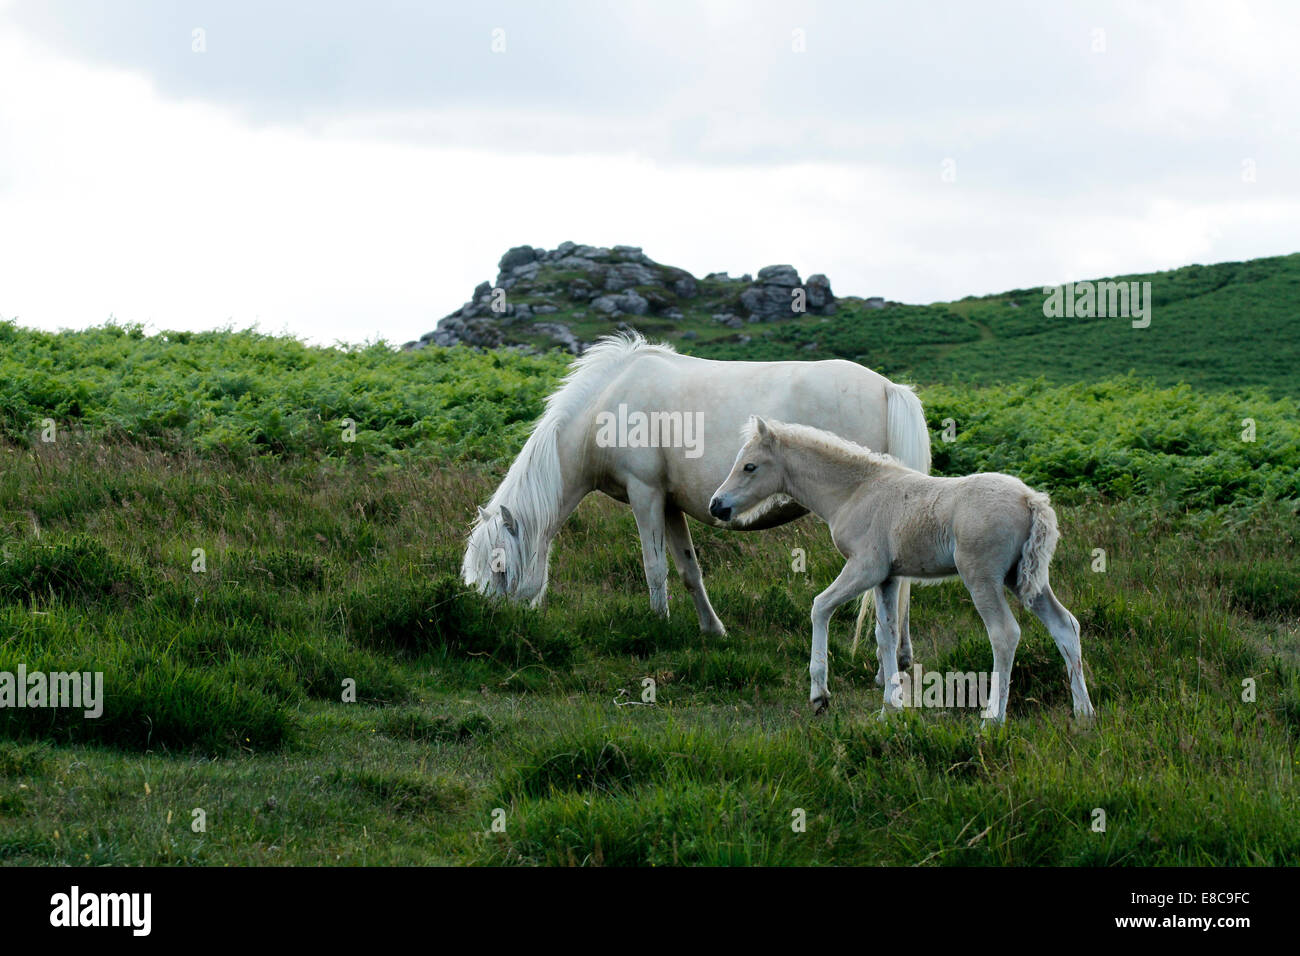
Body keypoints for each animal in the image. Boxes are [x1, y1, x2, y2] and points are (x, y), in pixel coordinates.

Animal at [463, 333, 932, 661]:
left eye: (500, 567)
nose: (494, 627)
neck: (604, 408)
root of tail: (888, 388)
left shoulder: (645, 494)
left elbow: (654, 569)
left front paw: (659, 626)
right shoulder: (670, 504)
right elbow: (689, 571)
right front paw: (712, 630)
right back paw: (903, 654)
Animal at [709, 416, 1095, 724]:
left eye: (749, 466)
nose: (717, 505)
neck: (855, 492)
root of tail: (1031, 500)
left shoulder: (865, 567)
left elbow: (820, 606)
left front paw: (819, 696)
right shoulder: (888, 577)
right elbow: (887, 635)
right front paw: (889, 708)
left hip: (981, 577)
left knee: (1004, 633)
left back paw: (992, 720)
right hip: (1023, 578)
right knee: (1065, 625)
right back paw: (1084, 714)